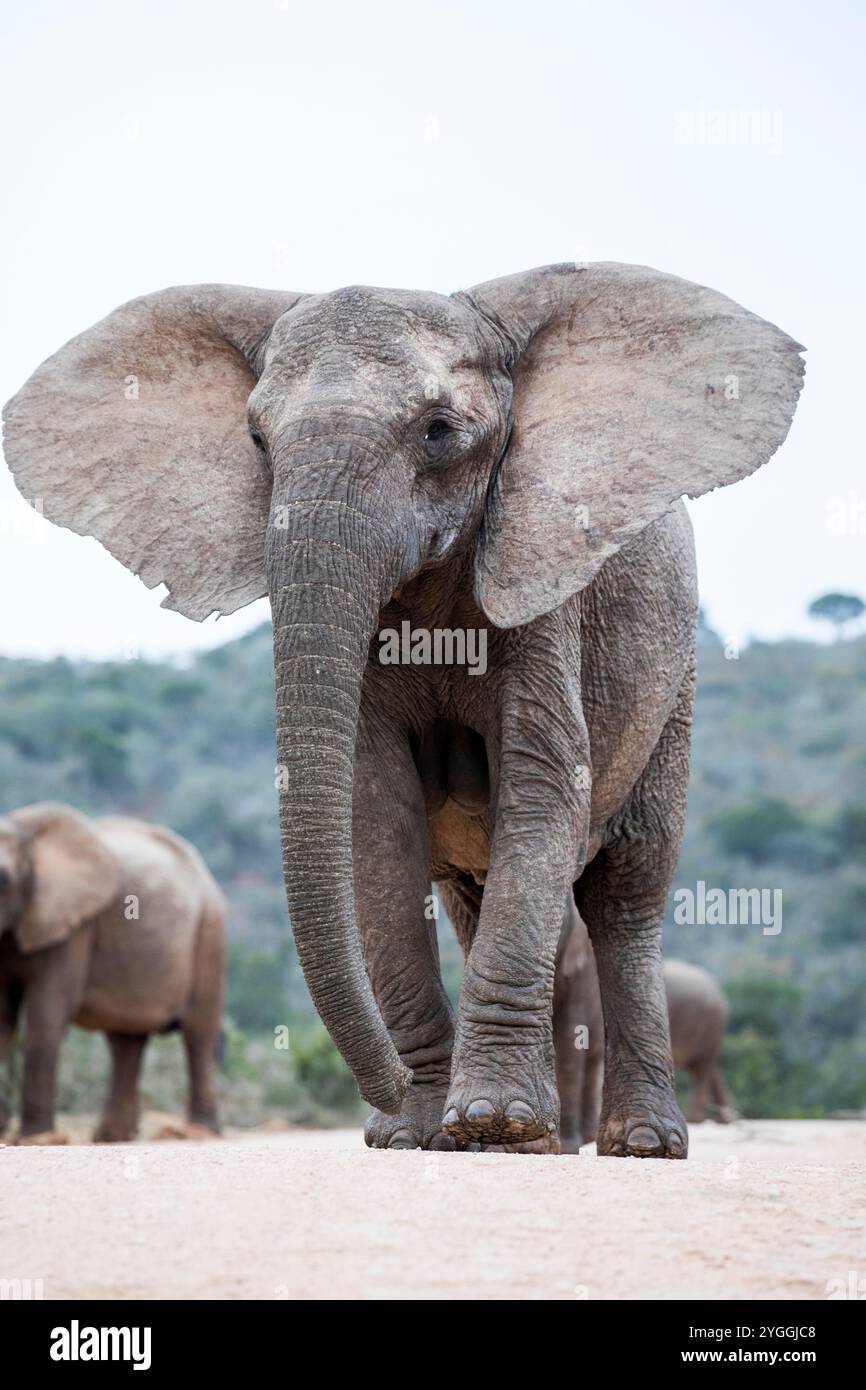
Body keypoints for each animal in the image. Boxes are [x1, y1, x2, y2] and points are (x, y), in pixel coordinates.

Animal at [0, 803, 226, 1142]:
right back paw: (113, 1137)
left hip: (209, 931)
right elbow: (2, 1016)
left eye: (2, 880)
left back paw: (199, 1132)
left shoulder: (75, 925)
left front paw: (35, 1138)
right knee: (126, 1041)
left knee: (197, 1032)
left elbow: (47, 1012)